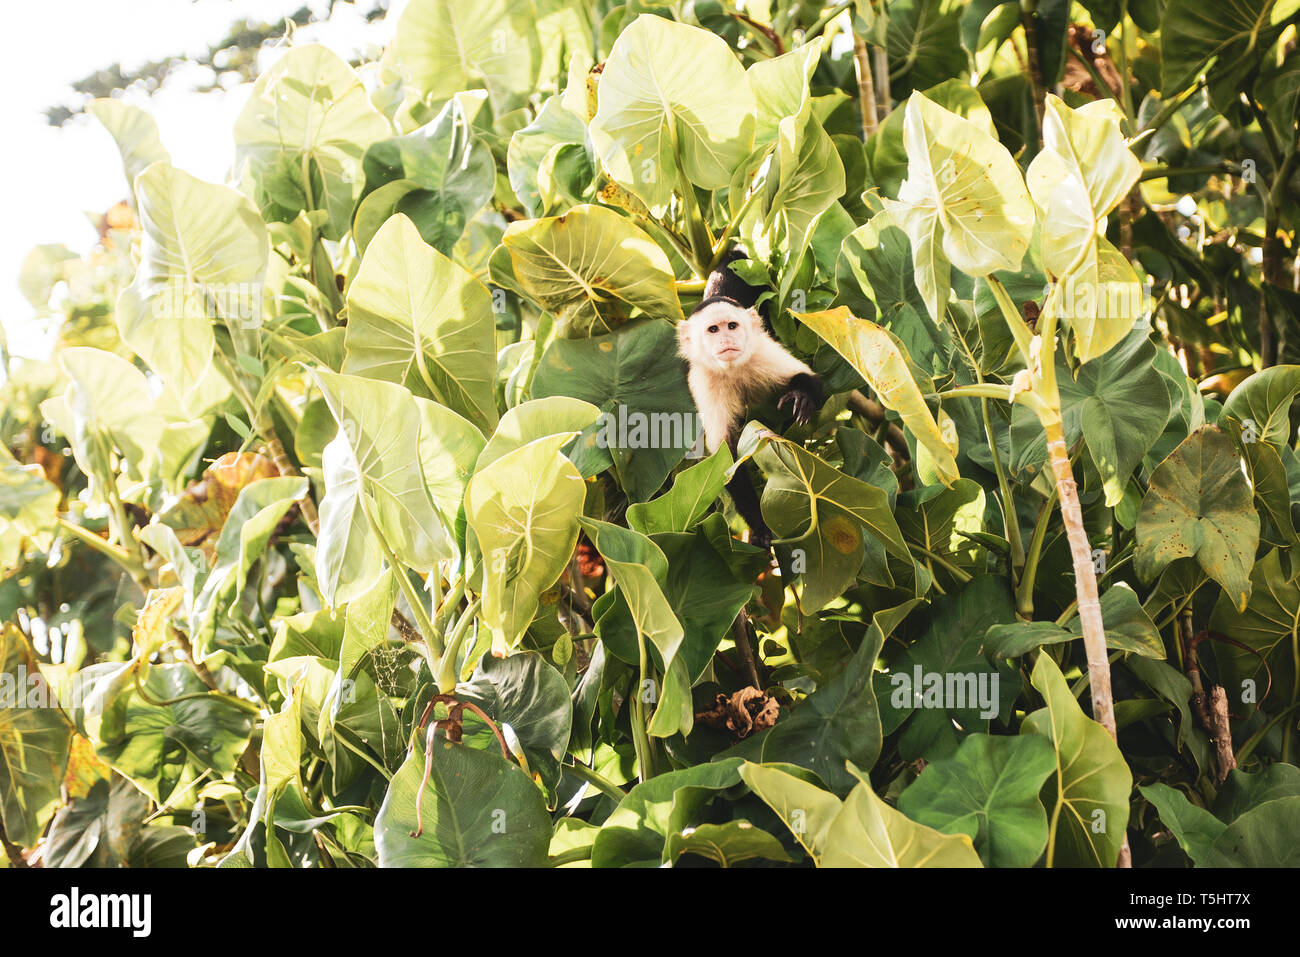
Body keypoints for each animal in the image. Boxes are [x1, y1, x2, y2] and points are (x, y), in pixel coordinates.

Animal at [677, 248, 825, 549]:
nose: (727, 339)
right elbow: (725, 457)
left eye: (732, 326)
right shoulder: (703, 381)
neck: (732, 369)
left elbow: (812, 381)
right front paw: (760, 527)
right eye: (713, 330)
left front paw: (801, 396)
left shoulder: (761, 351)